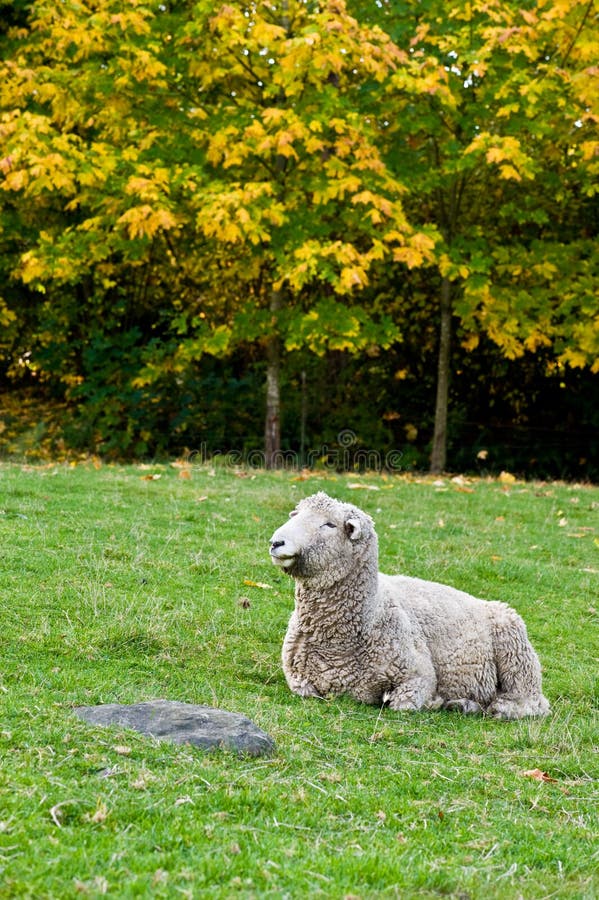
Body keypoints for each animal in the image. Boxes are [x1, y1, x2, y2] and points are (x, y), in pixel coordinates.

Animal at [269, 492, 550, 719]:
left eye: (329, 524)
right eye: (297, 515)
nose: (276, 542)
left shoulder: (419, 675)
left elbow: (403, 704)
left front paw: (434, 702)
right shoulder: (297, 677)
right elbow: (303, 690)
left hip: (515, 649)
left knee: (534, 702)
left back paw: (501, 708)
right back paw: (463, 705)